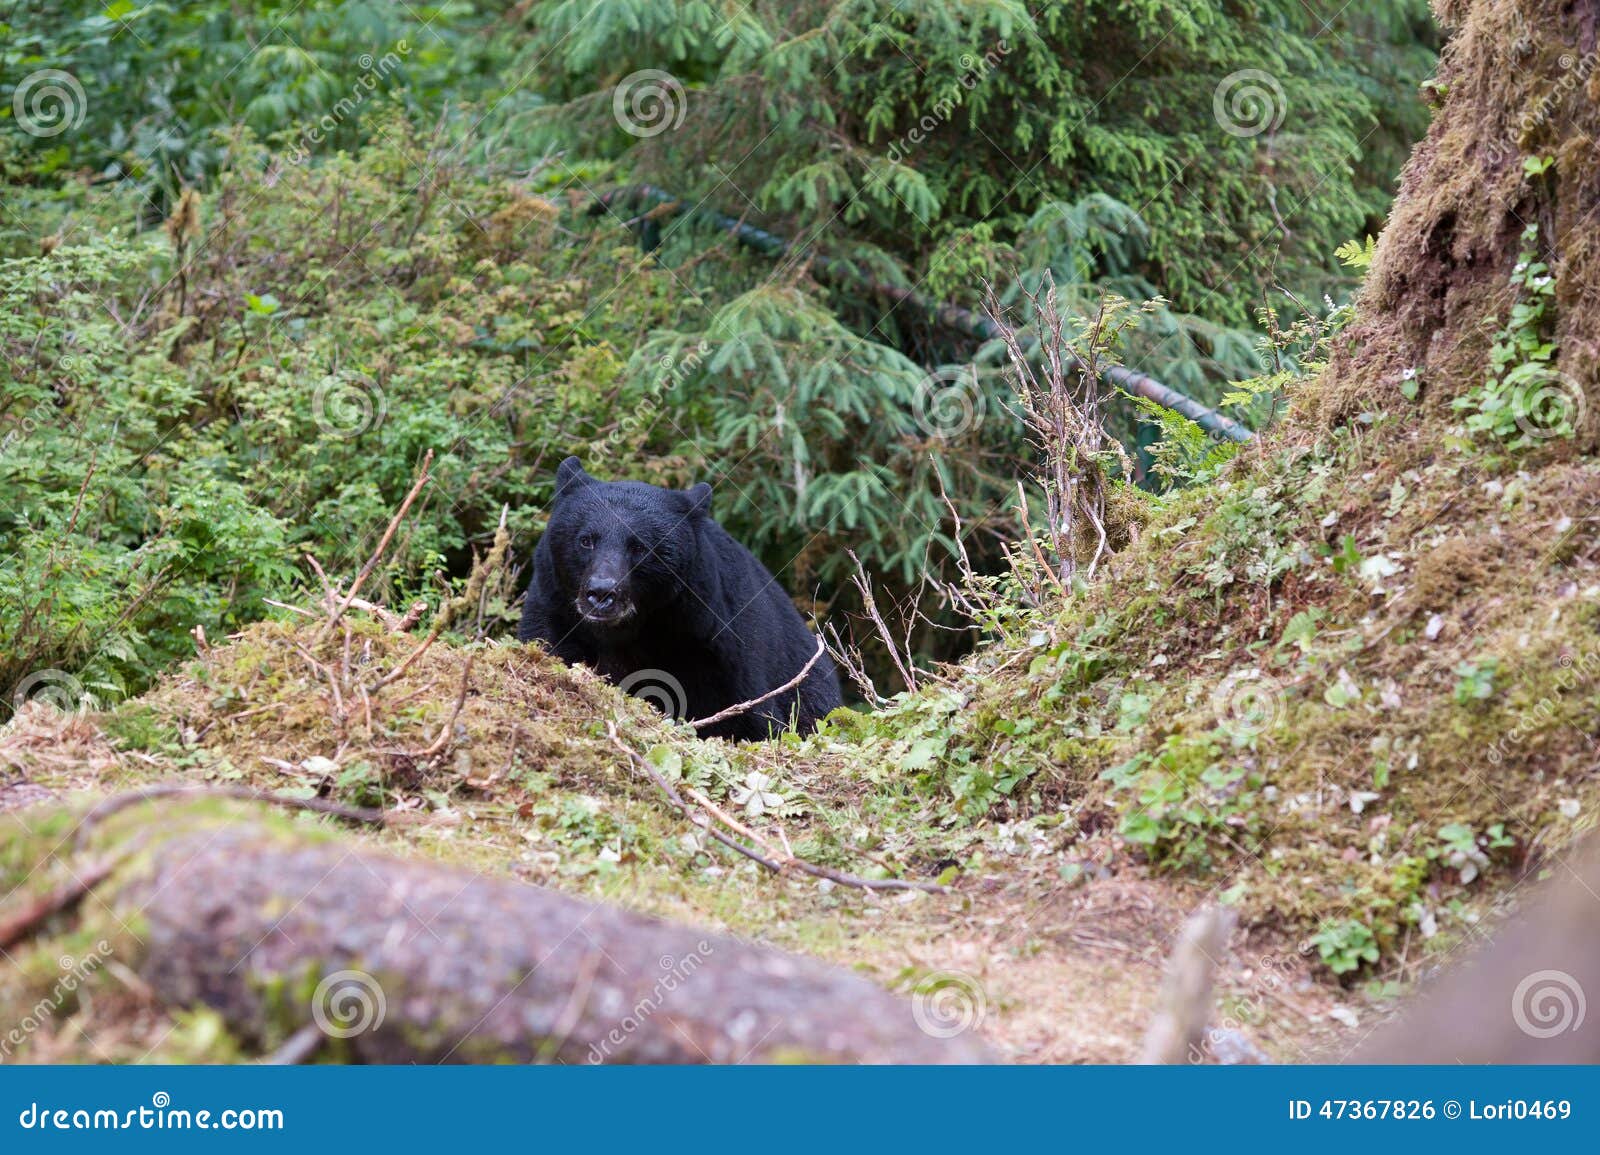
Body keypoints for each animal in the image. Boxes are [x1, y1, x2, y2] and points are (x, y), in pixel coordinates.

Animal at [518, 457, 842, 741]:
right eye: (586, 540)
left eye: (640, 547)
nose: (601, 593)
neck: (629, 631)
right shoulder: (554, 609)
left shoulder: (708, 642)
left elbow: (750, 716)